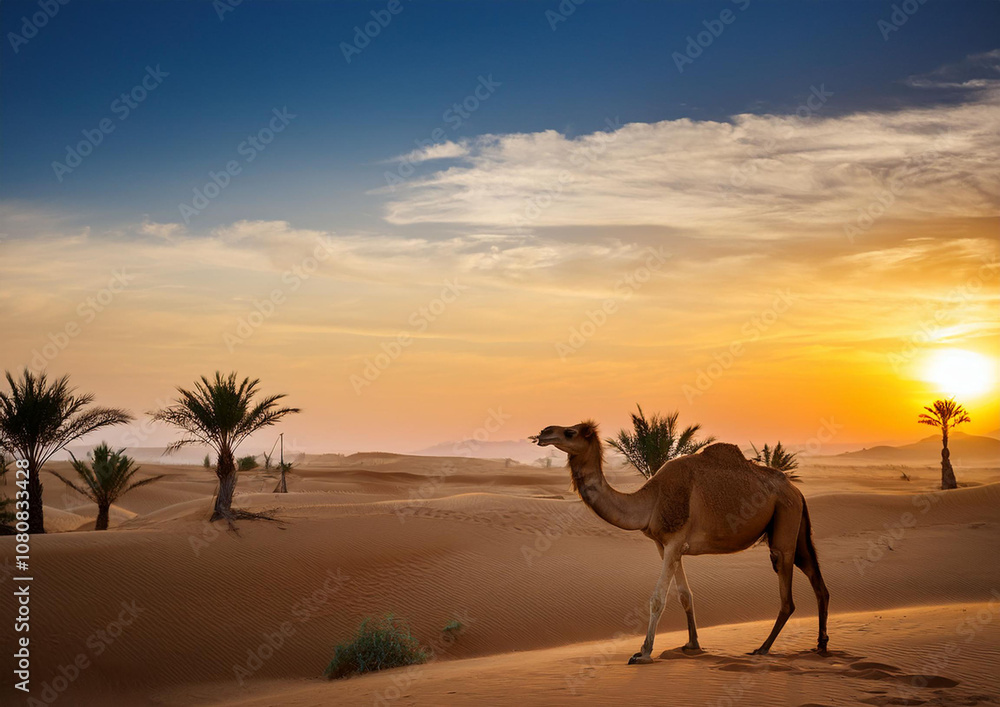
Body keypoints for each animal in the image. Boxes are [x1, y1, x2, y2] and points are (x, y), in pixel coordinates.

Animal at [531, 421, 829, 663]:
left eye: (570, 432)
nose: (544, 432)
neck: (650, 501)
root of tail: (796, 490)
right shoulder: (666, 545)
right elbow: (685, 595)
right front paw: (692, 645)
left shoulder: (674, 542)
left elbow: (658, 598)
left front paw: (644, 652)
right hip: (795, 525)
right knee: (817, 581)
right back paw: (821, 645)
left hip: (785, 521)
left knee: (787, 595)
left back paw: (763, 648)